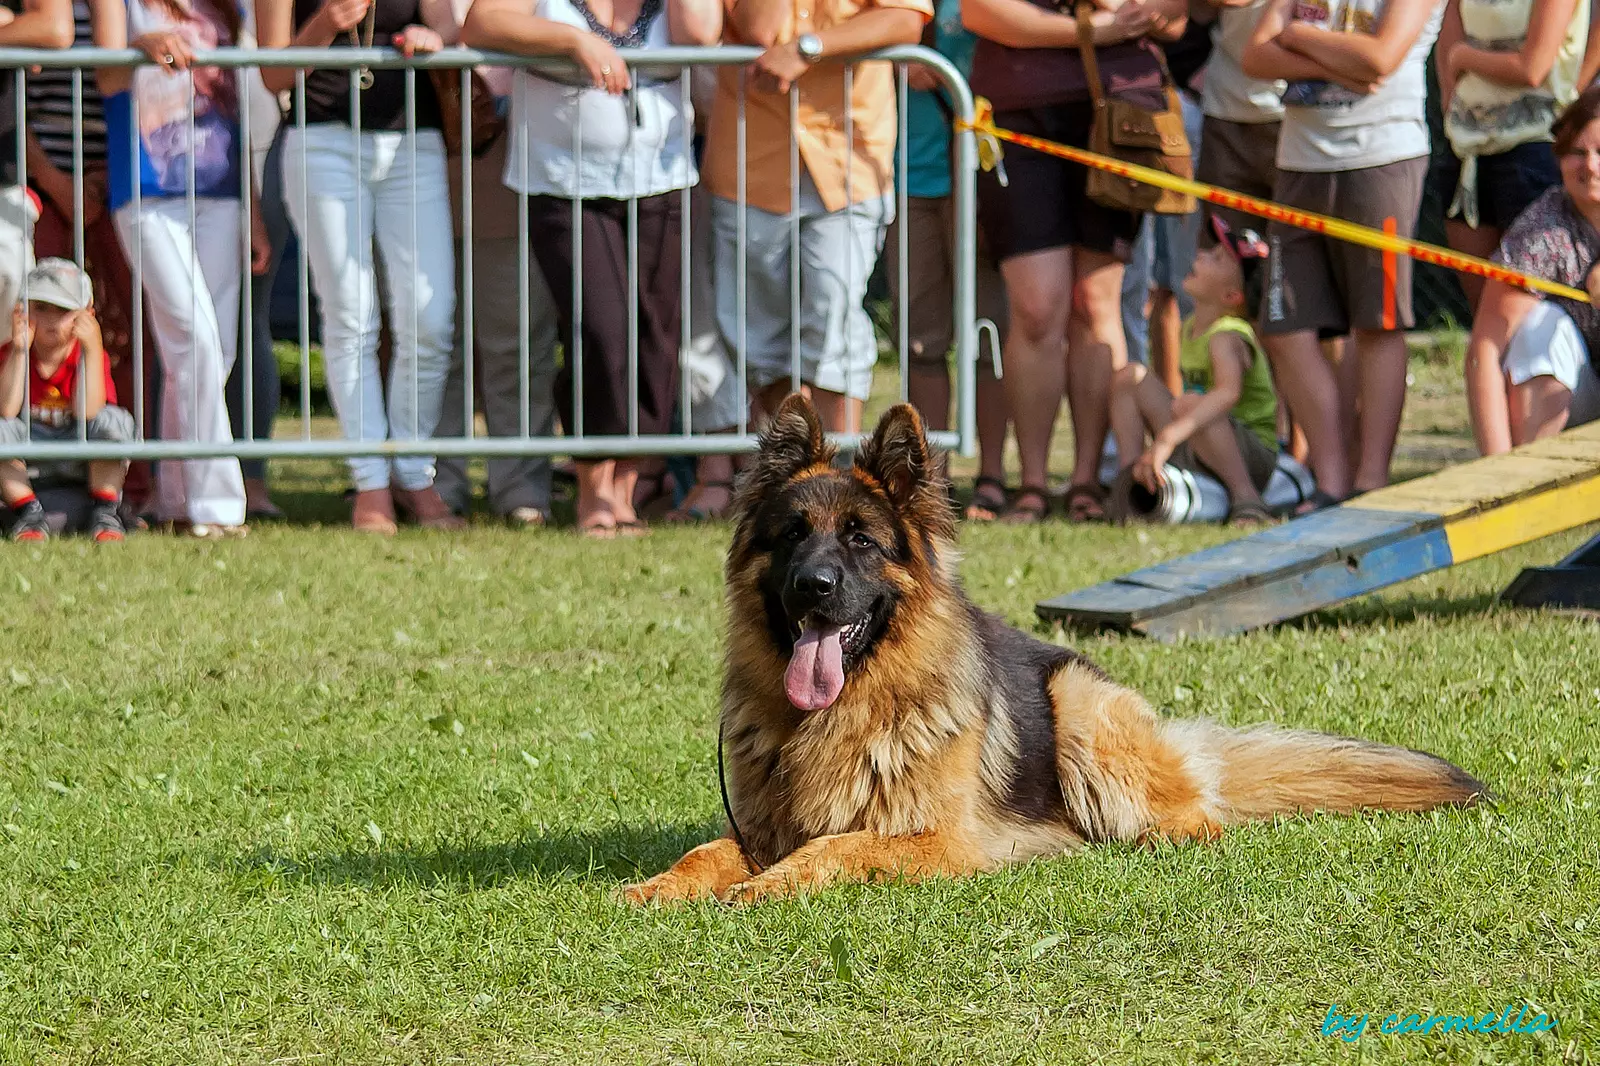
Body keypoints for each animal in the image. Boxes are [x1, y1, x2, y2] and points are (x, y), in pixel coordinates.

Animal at [620, 393, 1484, 902]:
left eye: (861, 539)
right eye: (793, 536)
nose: (813, 588)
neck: (842, 712)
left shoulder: (936, 840)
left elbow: (838, 847)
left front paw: (772, 886)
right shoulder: (756, 830)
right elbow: (706, 851)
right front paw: (661, 884)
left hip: (1080, 710)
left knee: (1198, 817)